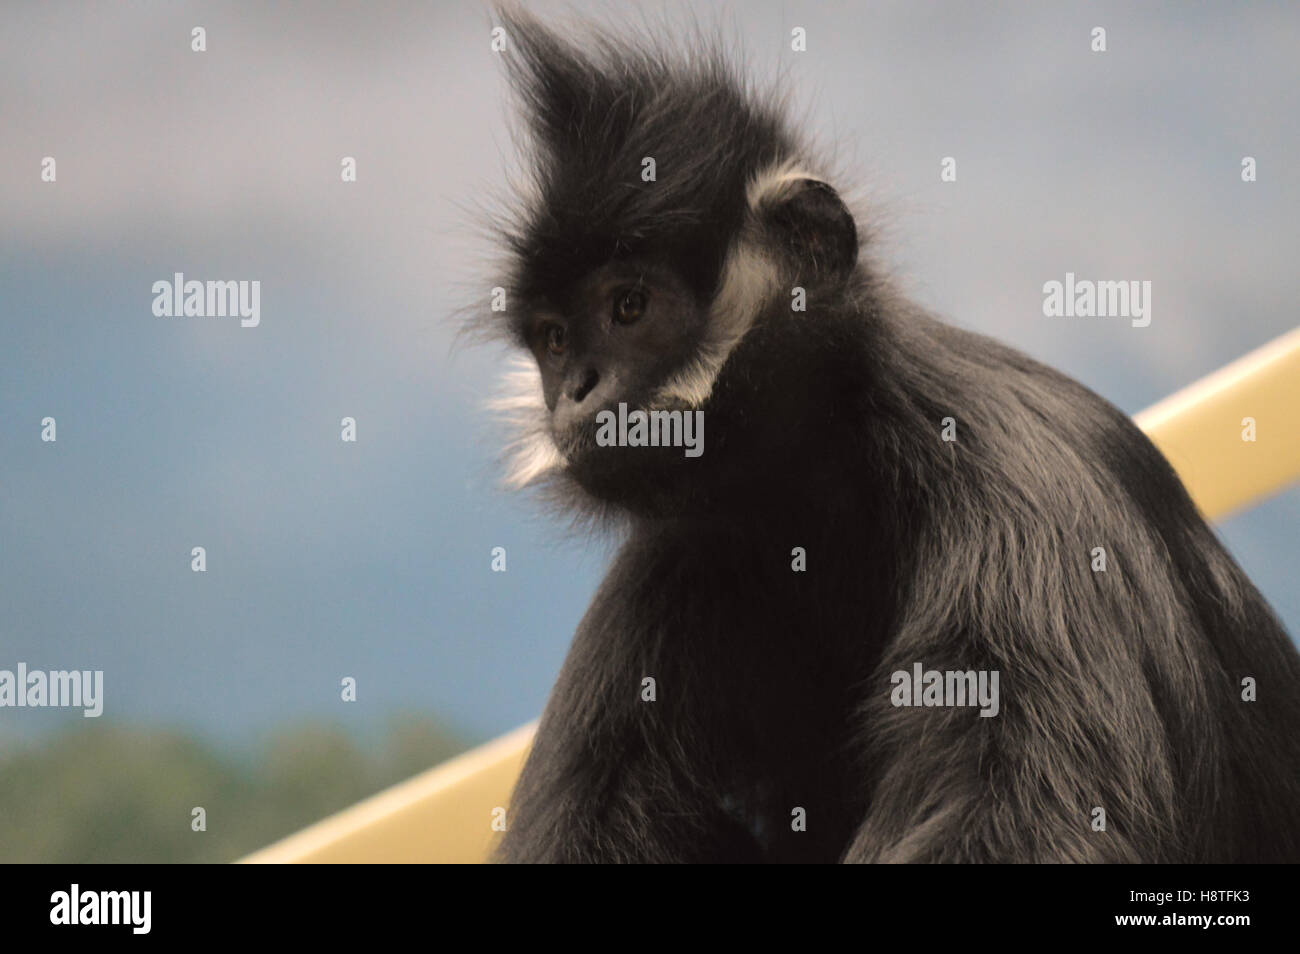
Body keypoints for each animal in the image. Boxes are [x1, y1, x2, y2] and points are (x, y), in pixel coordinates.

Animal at [477, 8, 1300, 863]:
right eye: (555, 341)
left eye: (629, 307)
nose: (577, 389)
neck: (824, 487)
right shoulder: (672, 562)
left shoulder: (1027, 506)